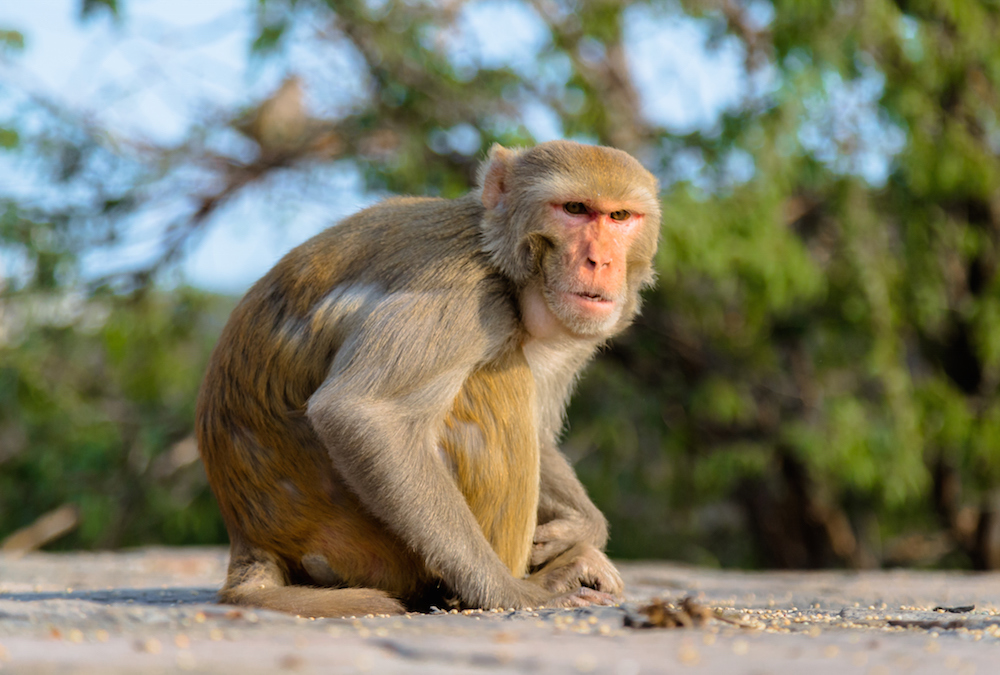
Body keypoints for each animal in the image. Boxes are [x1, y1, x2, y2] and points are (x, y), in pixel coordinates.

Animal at [195, 139, 661, 617]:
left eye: (619, 216)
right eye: (574, 209)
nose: (600, 261)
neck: (508, 271)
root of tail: (250, 538)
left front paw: (581, 526)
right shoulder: (468, 296)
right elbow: (363, 414)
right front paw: (509, 591)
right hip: (359, 547)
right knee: (498, 379)